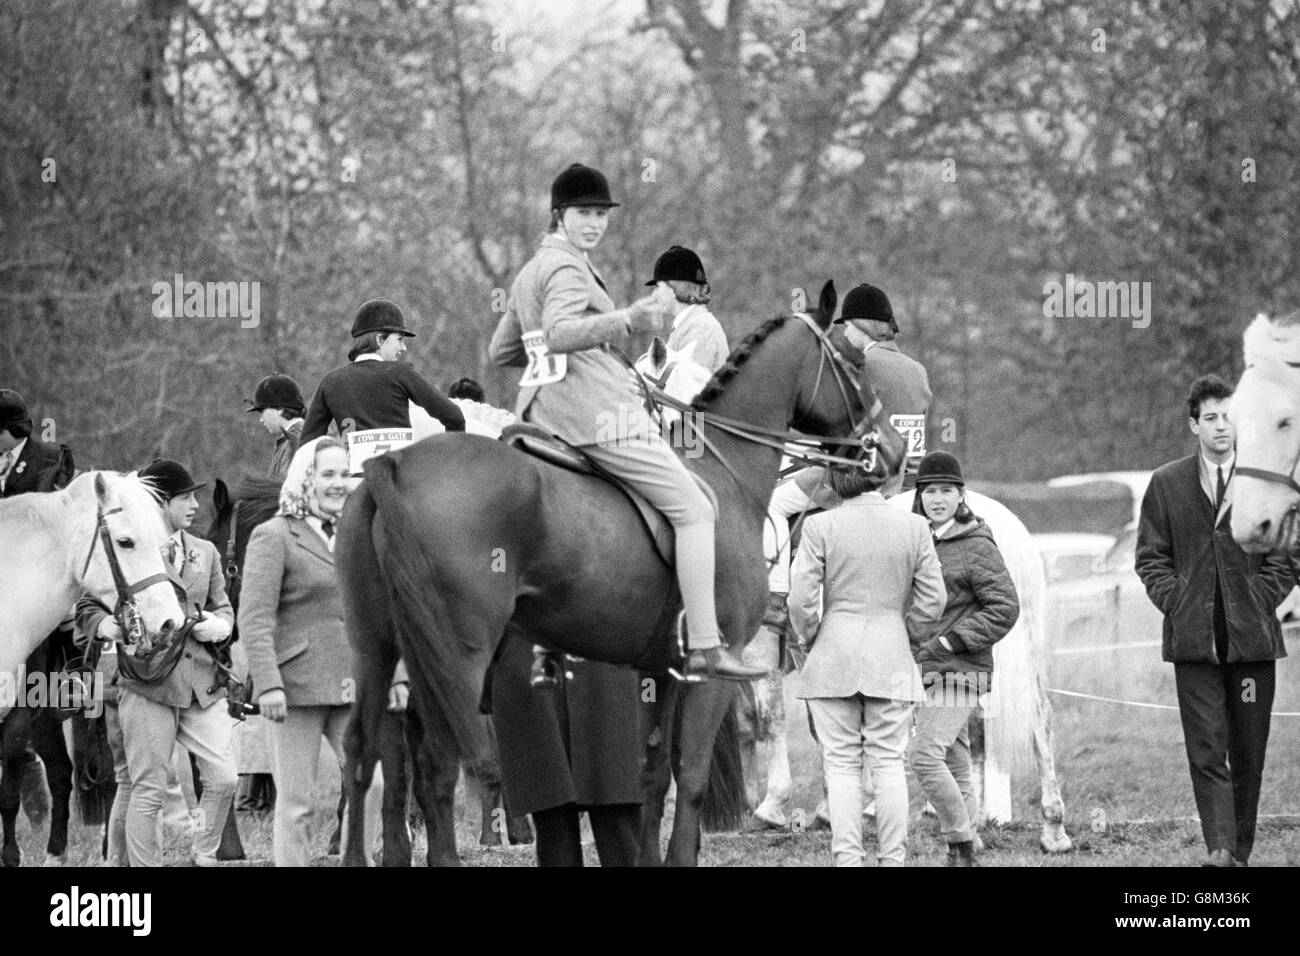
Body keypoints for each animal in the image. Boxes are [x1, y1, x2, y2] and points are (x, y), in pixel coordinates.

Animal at [337, 299, 901, 867]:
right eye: (854, 362)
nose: (893, 450)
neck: (722, 476)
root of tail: (393, 462)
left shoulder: (661, 670)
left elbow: (653, 776)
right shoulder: (714, 670)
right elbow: (691, 774)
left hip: (380, 652)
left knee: (362, 752)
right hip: (455, 657)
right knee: (431, 765)